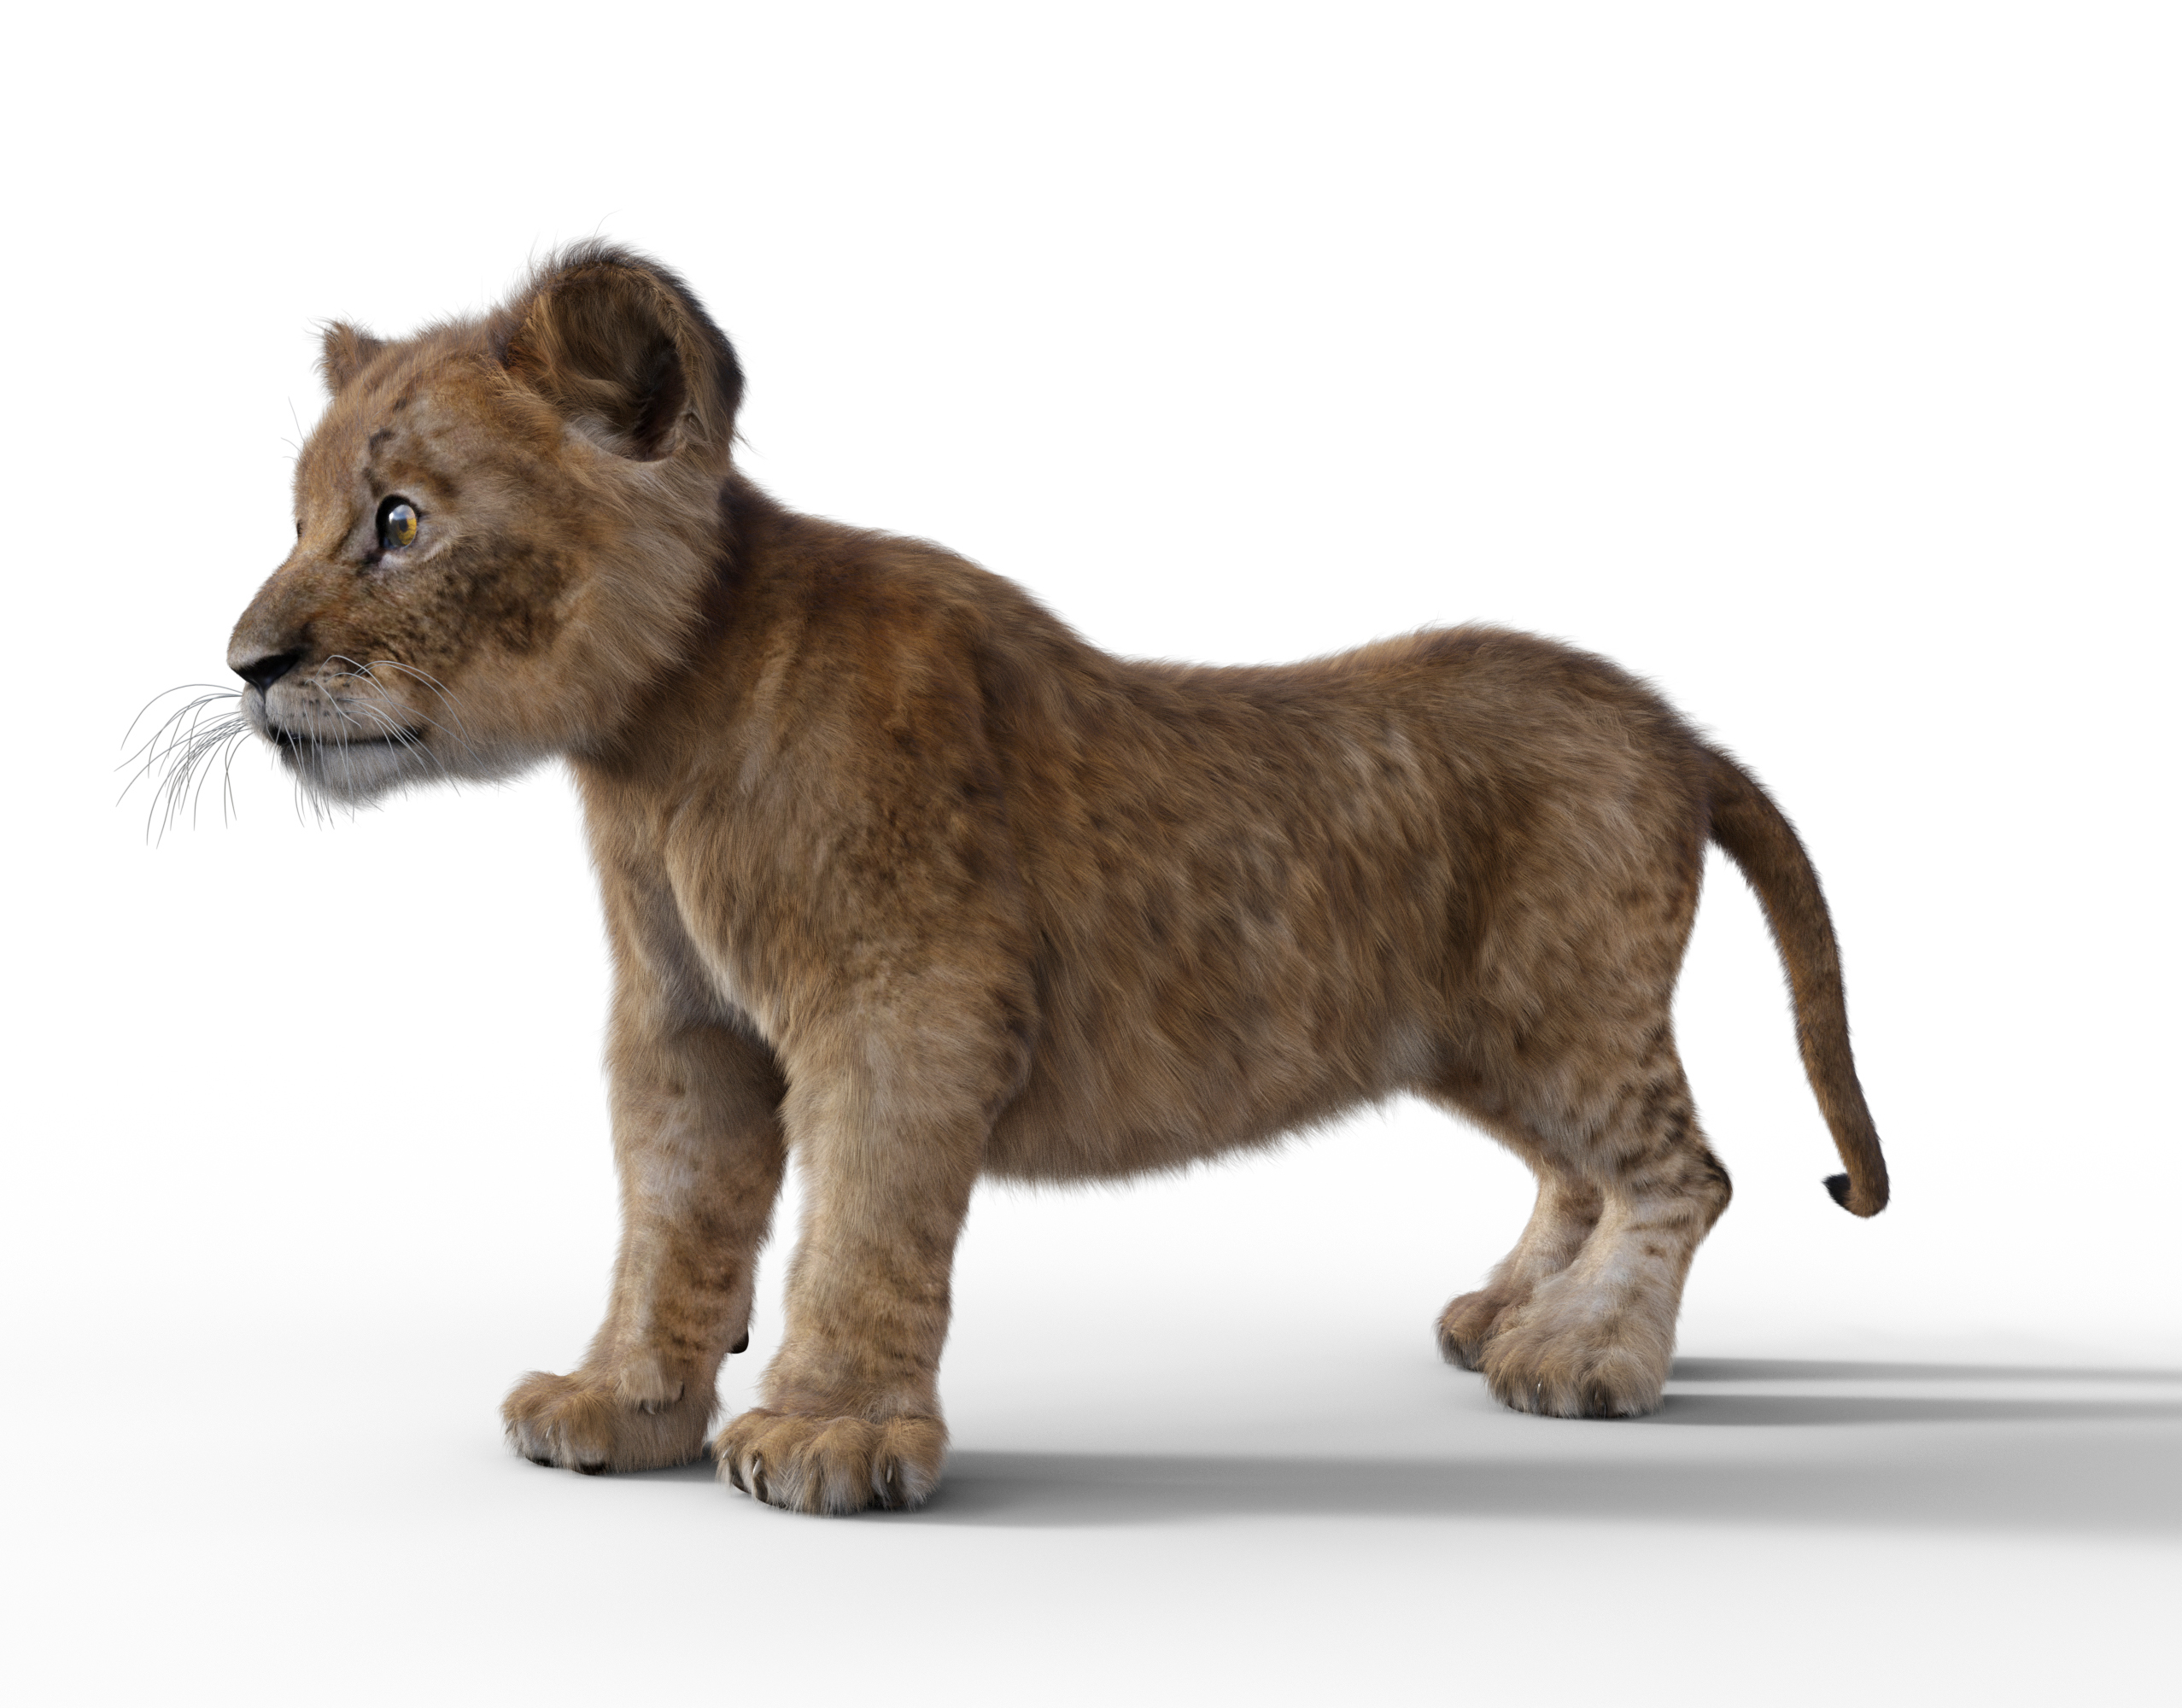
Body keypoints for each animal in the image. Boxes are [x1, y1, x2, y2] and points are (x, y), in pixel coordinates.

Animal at [219, 244, 1888, 1514]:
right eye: (296, 521)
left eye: (398, 523)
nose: (245, 664)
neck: (656, 742)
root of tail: (1673, 726)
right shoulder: (685, 1027)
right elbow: (670, 1218)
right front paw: (619, 1404)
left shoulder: (905, 1008)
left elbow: (863, 1226)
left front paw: (826, 1437)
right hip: (1480, 1033)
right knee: (1577, 1171)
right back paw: (1512, 1316)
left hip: (1561, 1001)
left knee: (1677, 1169)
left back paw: (1589, 1357)